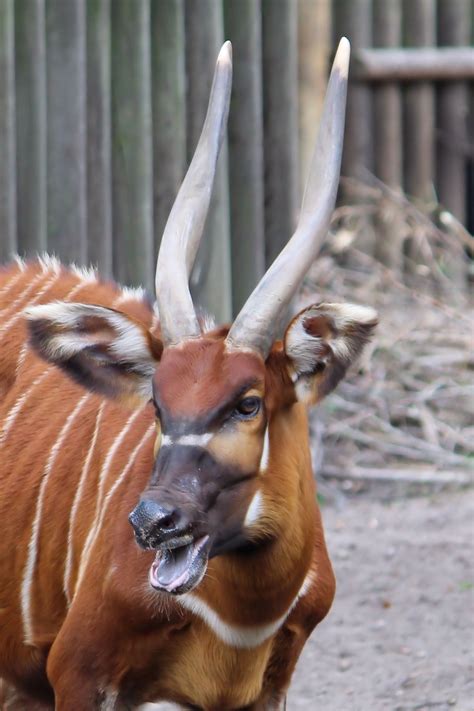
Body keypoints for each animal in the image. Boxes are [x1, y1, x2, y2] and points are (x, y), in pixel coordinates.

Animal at [0, 39, 376, 710]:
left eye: (248, 402)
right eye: (156, 401)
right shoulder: (77, 672)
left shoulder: (267, 689)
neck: (240, 620)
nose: (154, 522)